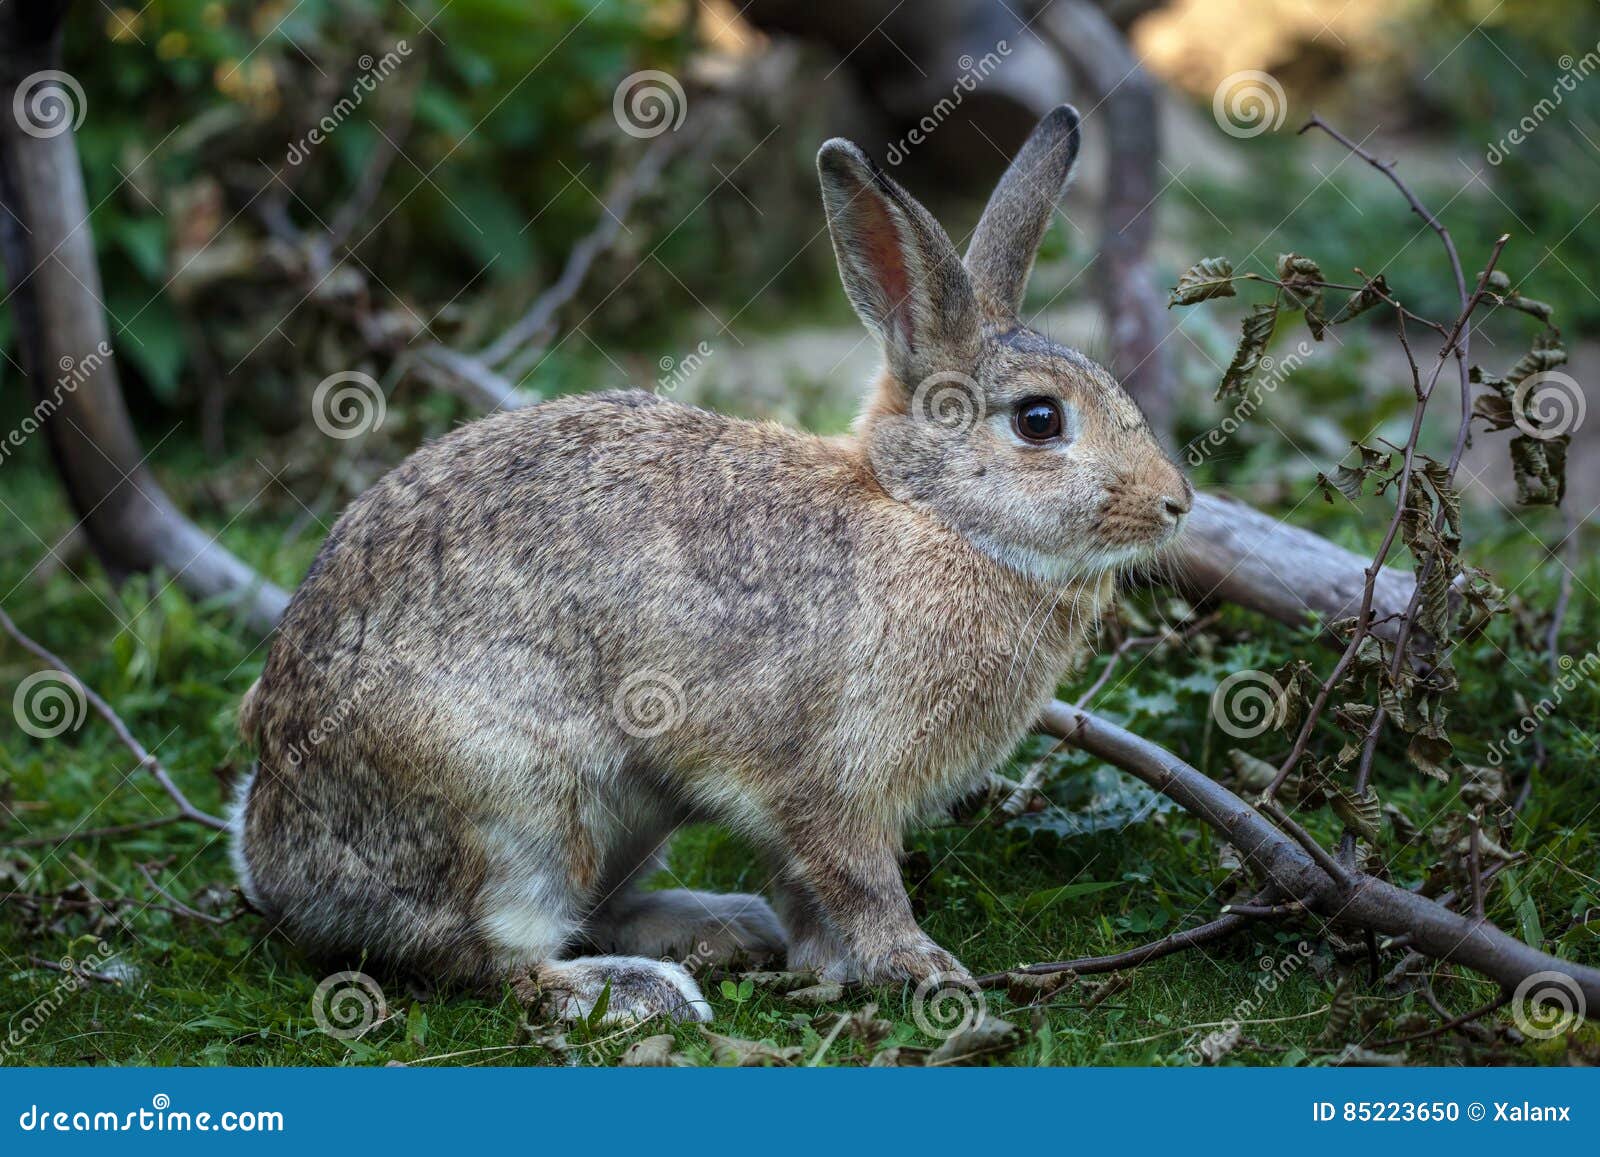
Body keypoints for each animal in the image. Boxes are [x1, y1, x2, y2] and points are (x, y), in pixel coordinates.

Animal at [231, 104, 1191, 1026]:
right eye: (1039, 420)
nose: (1178, 501)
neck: (927, 512)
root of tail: (277, 861)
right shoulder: (830, 778)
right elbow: (857, 878)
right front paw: (921, 967)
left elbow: (806, 884)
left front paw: (824, 960)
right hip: (517, 804)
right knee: (491, 958)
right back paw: (635, 992)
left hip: (632, 809)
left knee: (593, 911)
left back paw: (725, 926)